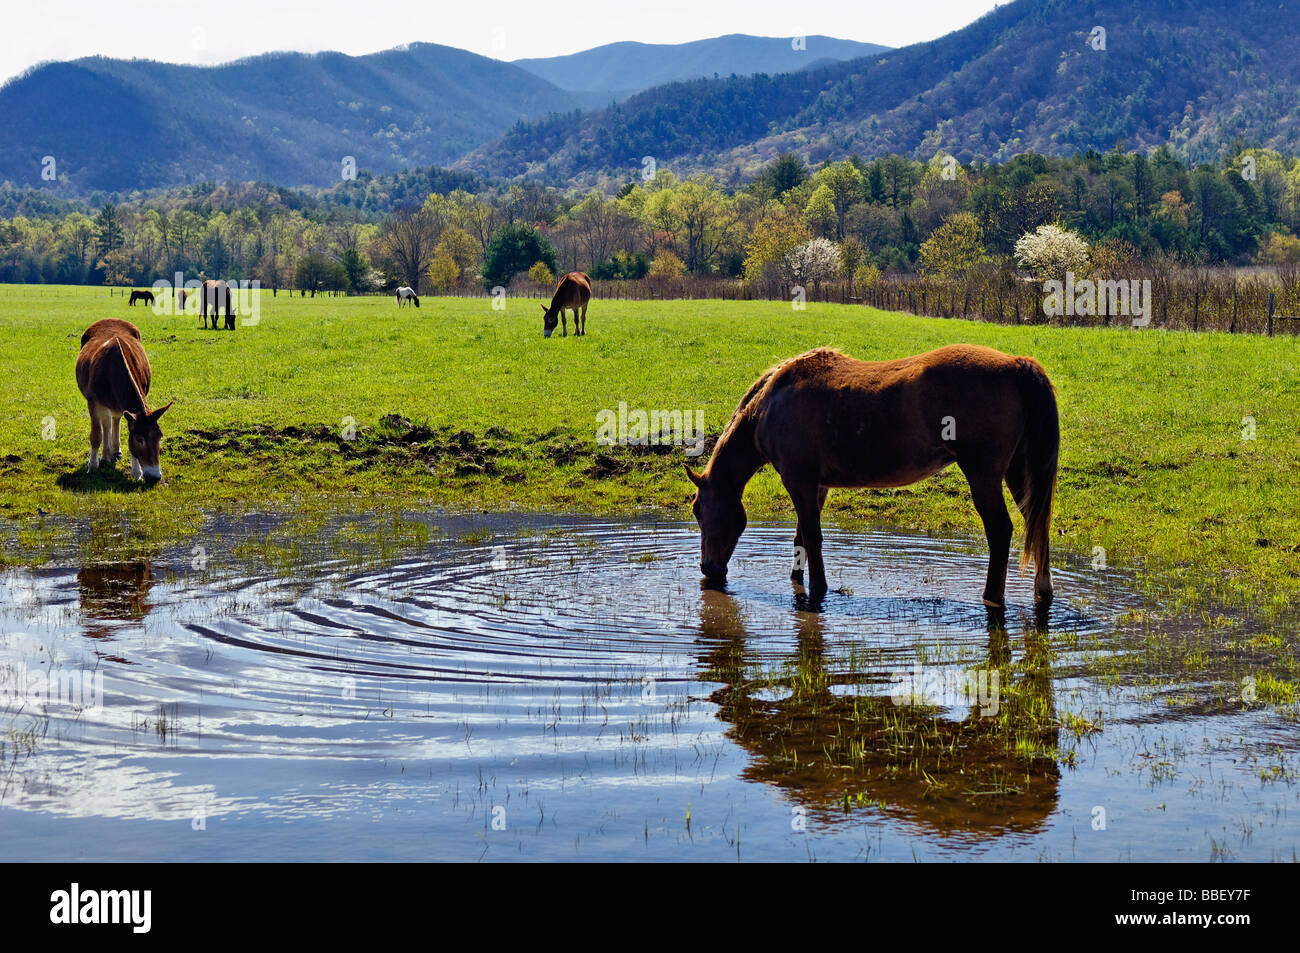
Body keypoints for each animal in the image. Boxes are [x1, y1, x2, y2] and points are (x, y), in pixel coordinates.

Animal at [75, 318, 173, 482]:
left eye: (160, 436)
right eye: (140, 439)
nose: (155, 476)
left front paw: (137, 472)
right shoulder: (93, 402)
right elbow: (96, 435)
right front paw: (92, 466)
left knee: (113, 419)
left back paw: (114, 451)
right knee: (106, 423)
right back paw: (105, 455)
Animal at [686, 344, 1058, 609]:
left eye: (698, 510)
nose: (709, 570)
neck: (771, 404)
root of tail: (1017, 364)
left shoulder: (798, 481)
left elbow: (812, 538)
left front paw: (818, 591)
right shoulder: (816, 487)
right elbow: (800, 538)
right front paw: (797, 578)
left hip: (983, 476)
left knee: (1001, 531)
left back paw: (992, 597)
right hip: (1019, 474)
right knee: (1036, 524)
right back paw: (1042, 590)